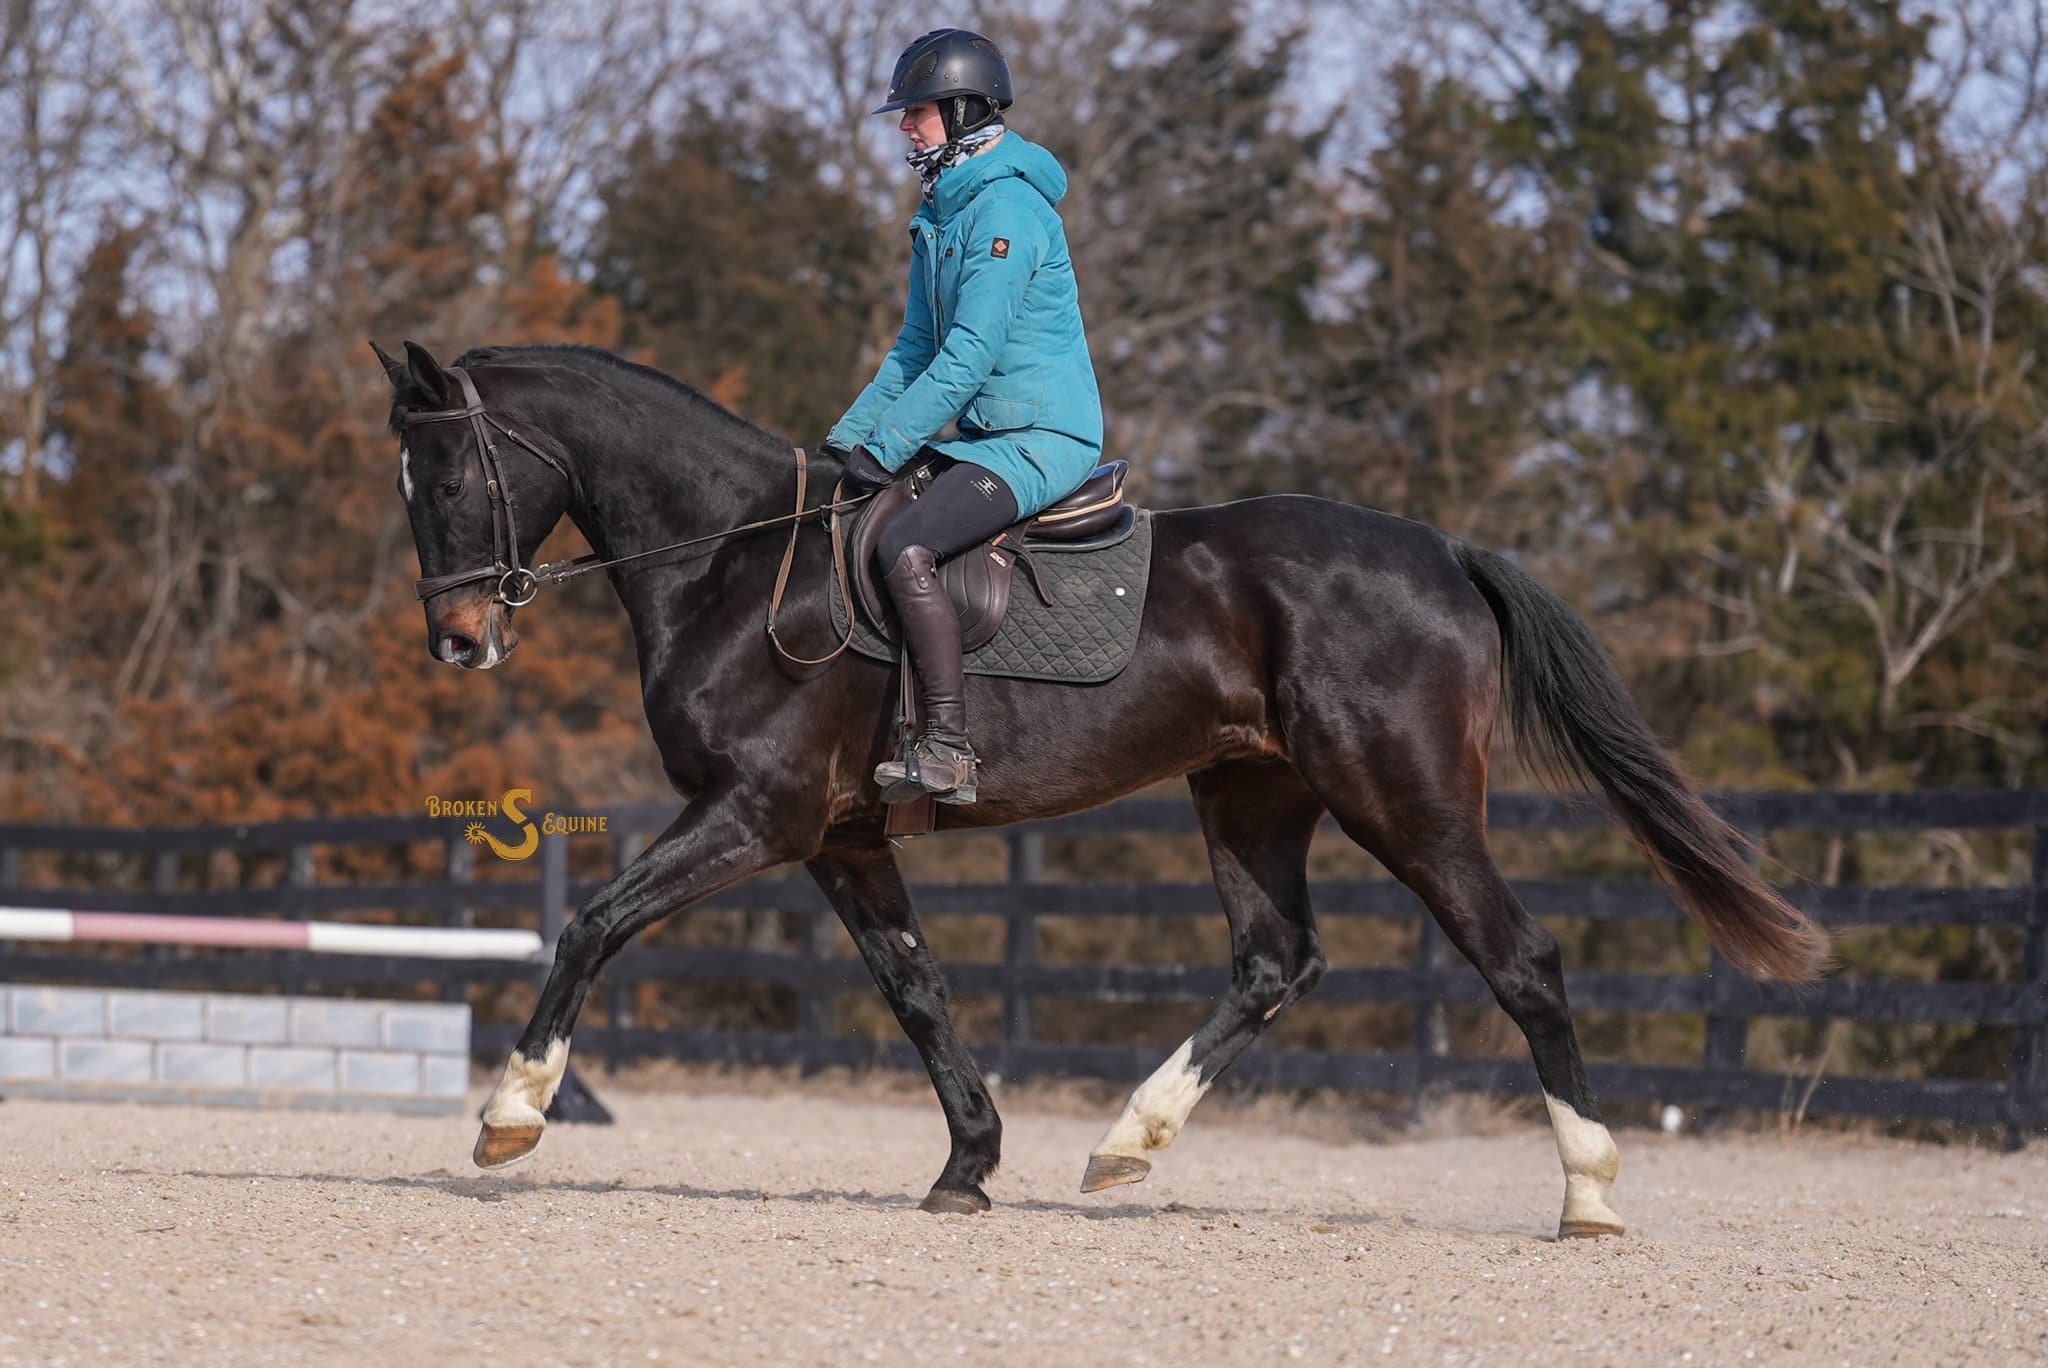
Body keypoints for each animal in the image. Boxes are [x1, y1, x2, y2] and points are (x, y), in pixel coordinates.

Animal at [375, 338, 1828, 1236]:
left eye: (444, 472)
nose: (455, 642)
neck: (736, 562)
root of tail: (1441, 552)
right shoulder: (843, 840)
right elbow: (916, 993)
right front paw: (969, 1165)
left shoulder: (758, 816)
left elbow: (595, 922)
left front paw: (511, 1115)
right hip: (1251, 796)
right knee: (1275, 961)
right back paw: (1127, 1141)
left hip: (1403, 799)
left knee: (1521, 960)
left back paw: (1589, 1194)